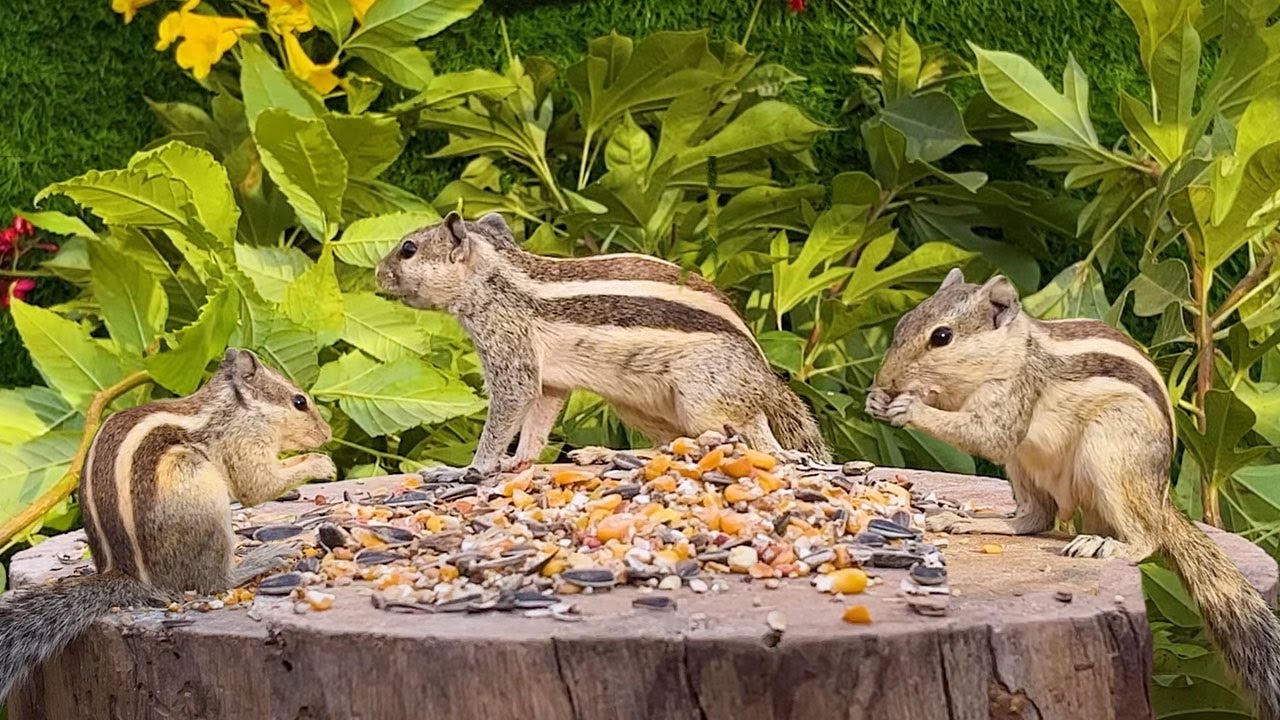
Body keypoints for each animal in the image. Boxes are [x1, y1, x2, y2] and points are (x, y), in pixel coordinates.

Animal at [0, 348, 336, 700]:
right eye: (299, 402)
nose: (327, 434)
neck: (235, 408)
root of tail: (131, 577)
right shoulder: (244, 443)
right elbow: (259, 486)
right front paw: (320, 463)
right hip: (203, 496)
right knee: (213, 581)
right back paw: (261, 559)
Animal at [375, 211, 829, 480]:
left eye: (408, 249)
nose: (377, 273)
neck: (496, 279)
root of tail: (764, 380)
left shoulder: (509, 351)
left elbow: (509, 408)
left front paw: (470, 468)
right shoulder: (551, 383)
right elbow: (537, 424)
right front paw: (517, 461)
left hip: (702, 398)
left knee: (736, 436)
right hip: (636, 405)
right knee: (678, 442)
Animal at [865, 268, 1280, 719]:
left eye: (941, 337)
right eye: (904, 323)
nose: (885, 381)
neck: (1012, 353)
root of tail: (1159, 495)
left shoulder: (1013, 395)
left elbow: (987, 435)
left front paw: (909, 407)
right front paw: (877, 400)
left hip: (1110, 453)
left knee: (1147, 538)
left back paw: (1106, 545)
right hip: (1024, 468)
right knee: (1034, 518)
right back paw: (973, 520)